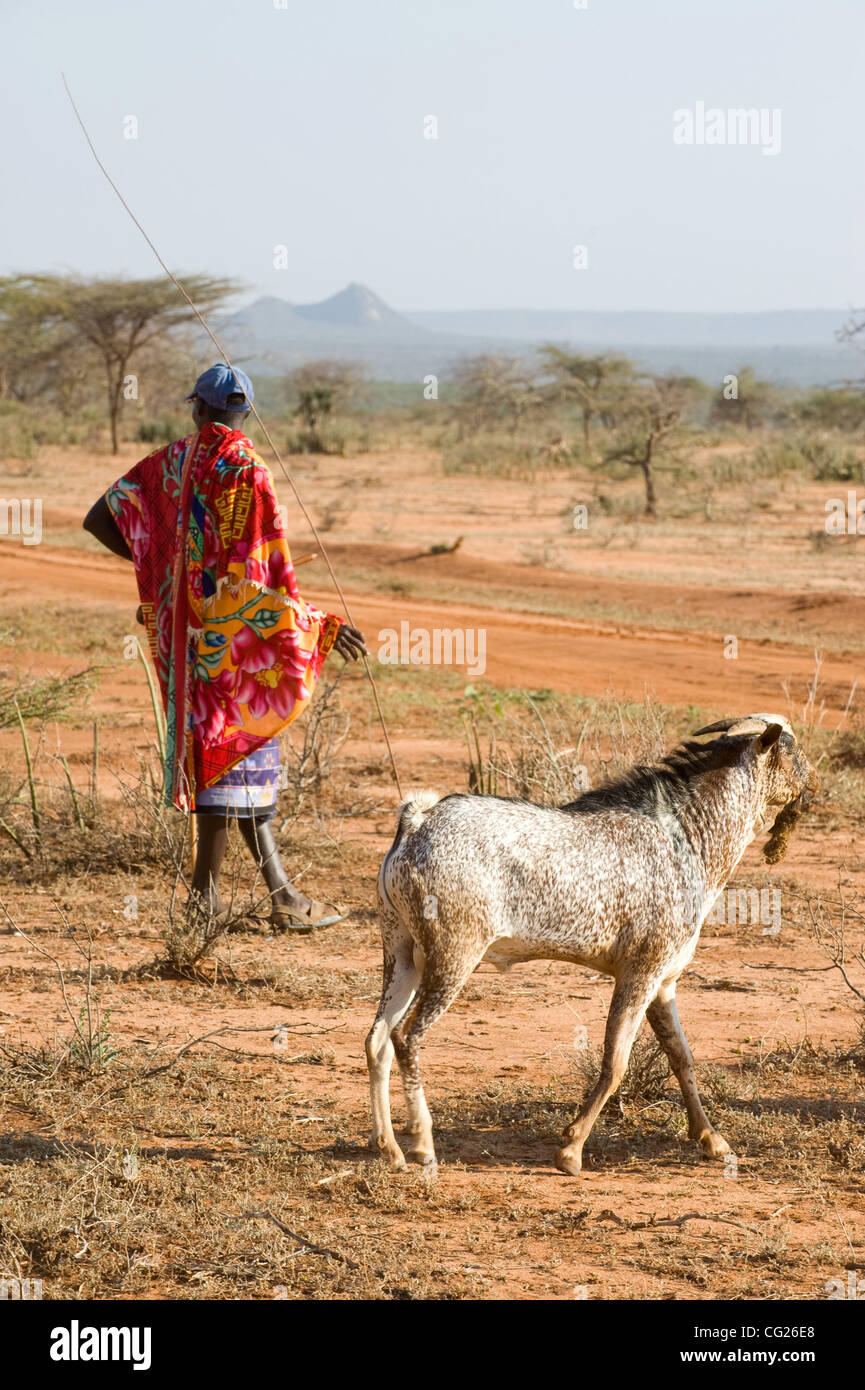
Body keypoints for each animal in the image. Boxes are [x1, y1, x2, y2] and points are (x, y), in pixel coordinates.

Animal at [366, 713, 818, 1176]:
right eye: (792, 749)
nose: (814, 784)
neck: (687, 838)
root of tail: (416, 823)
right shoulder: (640, 972)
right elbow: (616, 1062)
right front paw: (571, 1148)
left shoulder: (663, 982)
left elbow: (681, 1056)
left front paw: (713, 1140)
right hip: (454, 956)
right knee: (406, 1036)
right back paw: (422, 1144)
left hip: (401, 954)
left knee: (377, 1040)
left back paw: (390, 1149)